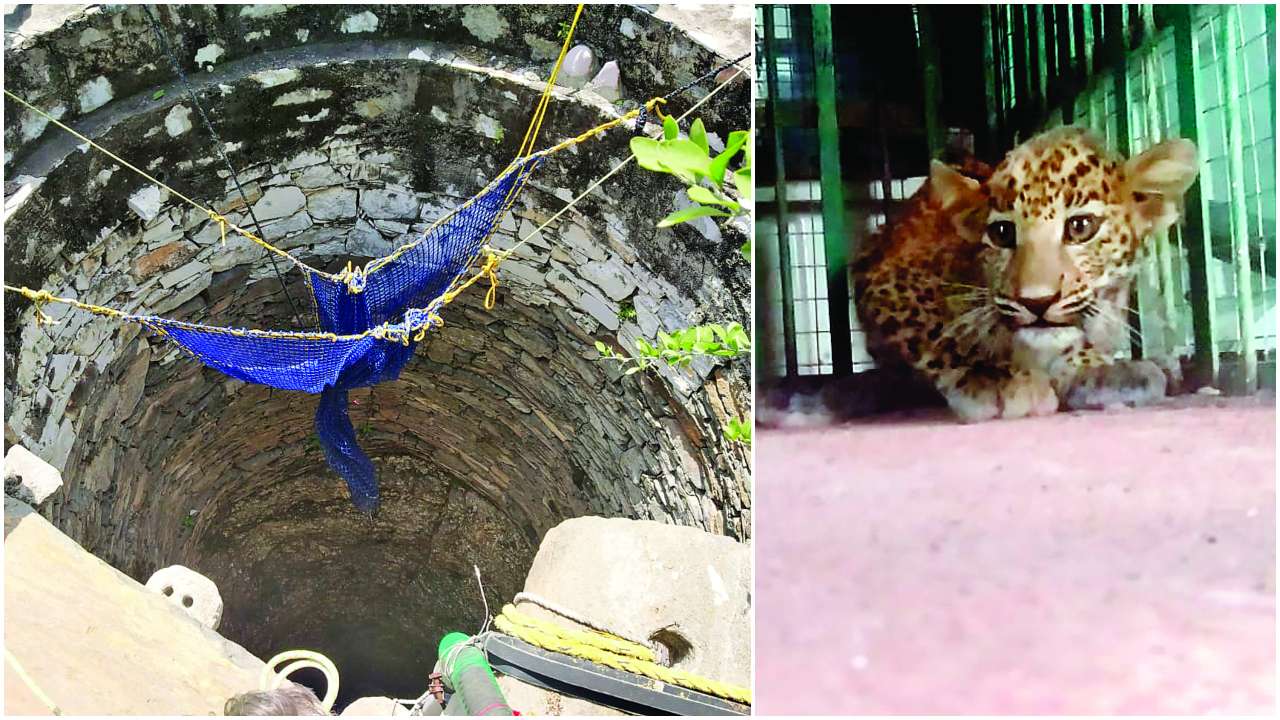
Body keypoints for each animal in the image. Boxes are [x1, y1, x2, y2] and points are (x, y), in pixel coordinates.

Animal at [846, 126, 1200, 422]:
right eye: (1001, 233)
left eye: (1080, 227)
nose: (1037, 302)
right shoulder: (891, 279)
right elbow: (939, 331)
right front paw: (992, 377)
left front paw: (1098, 370)